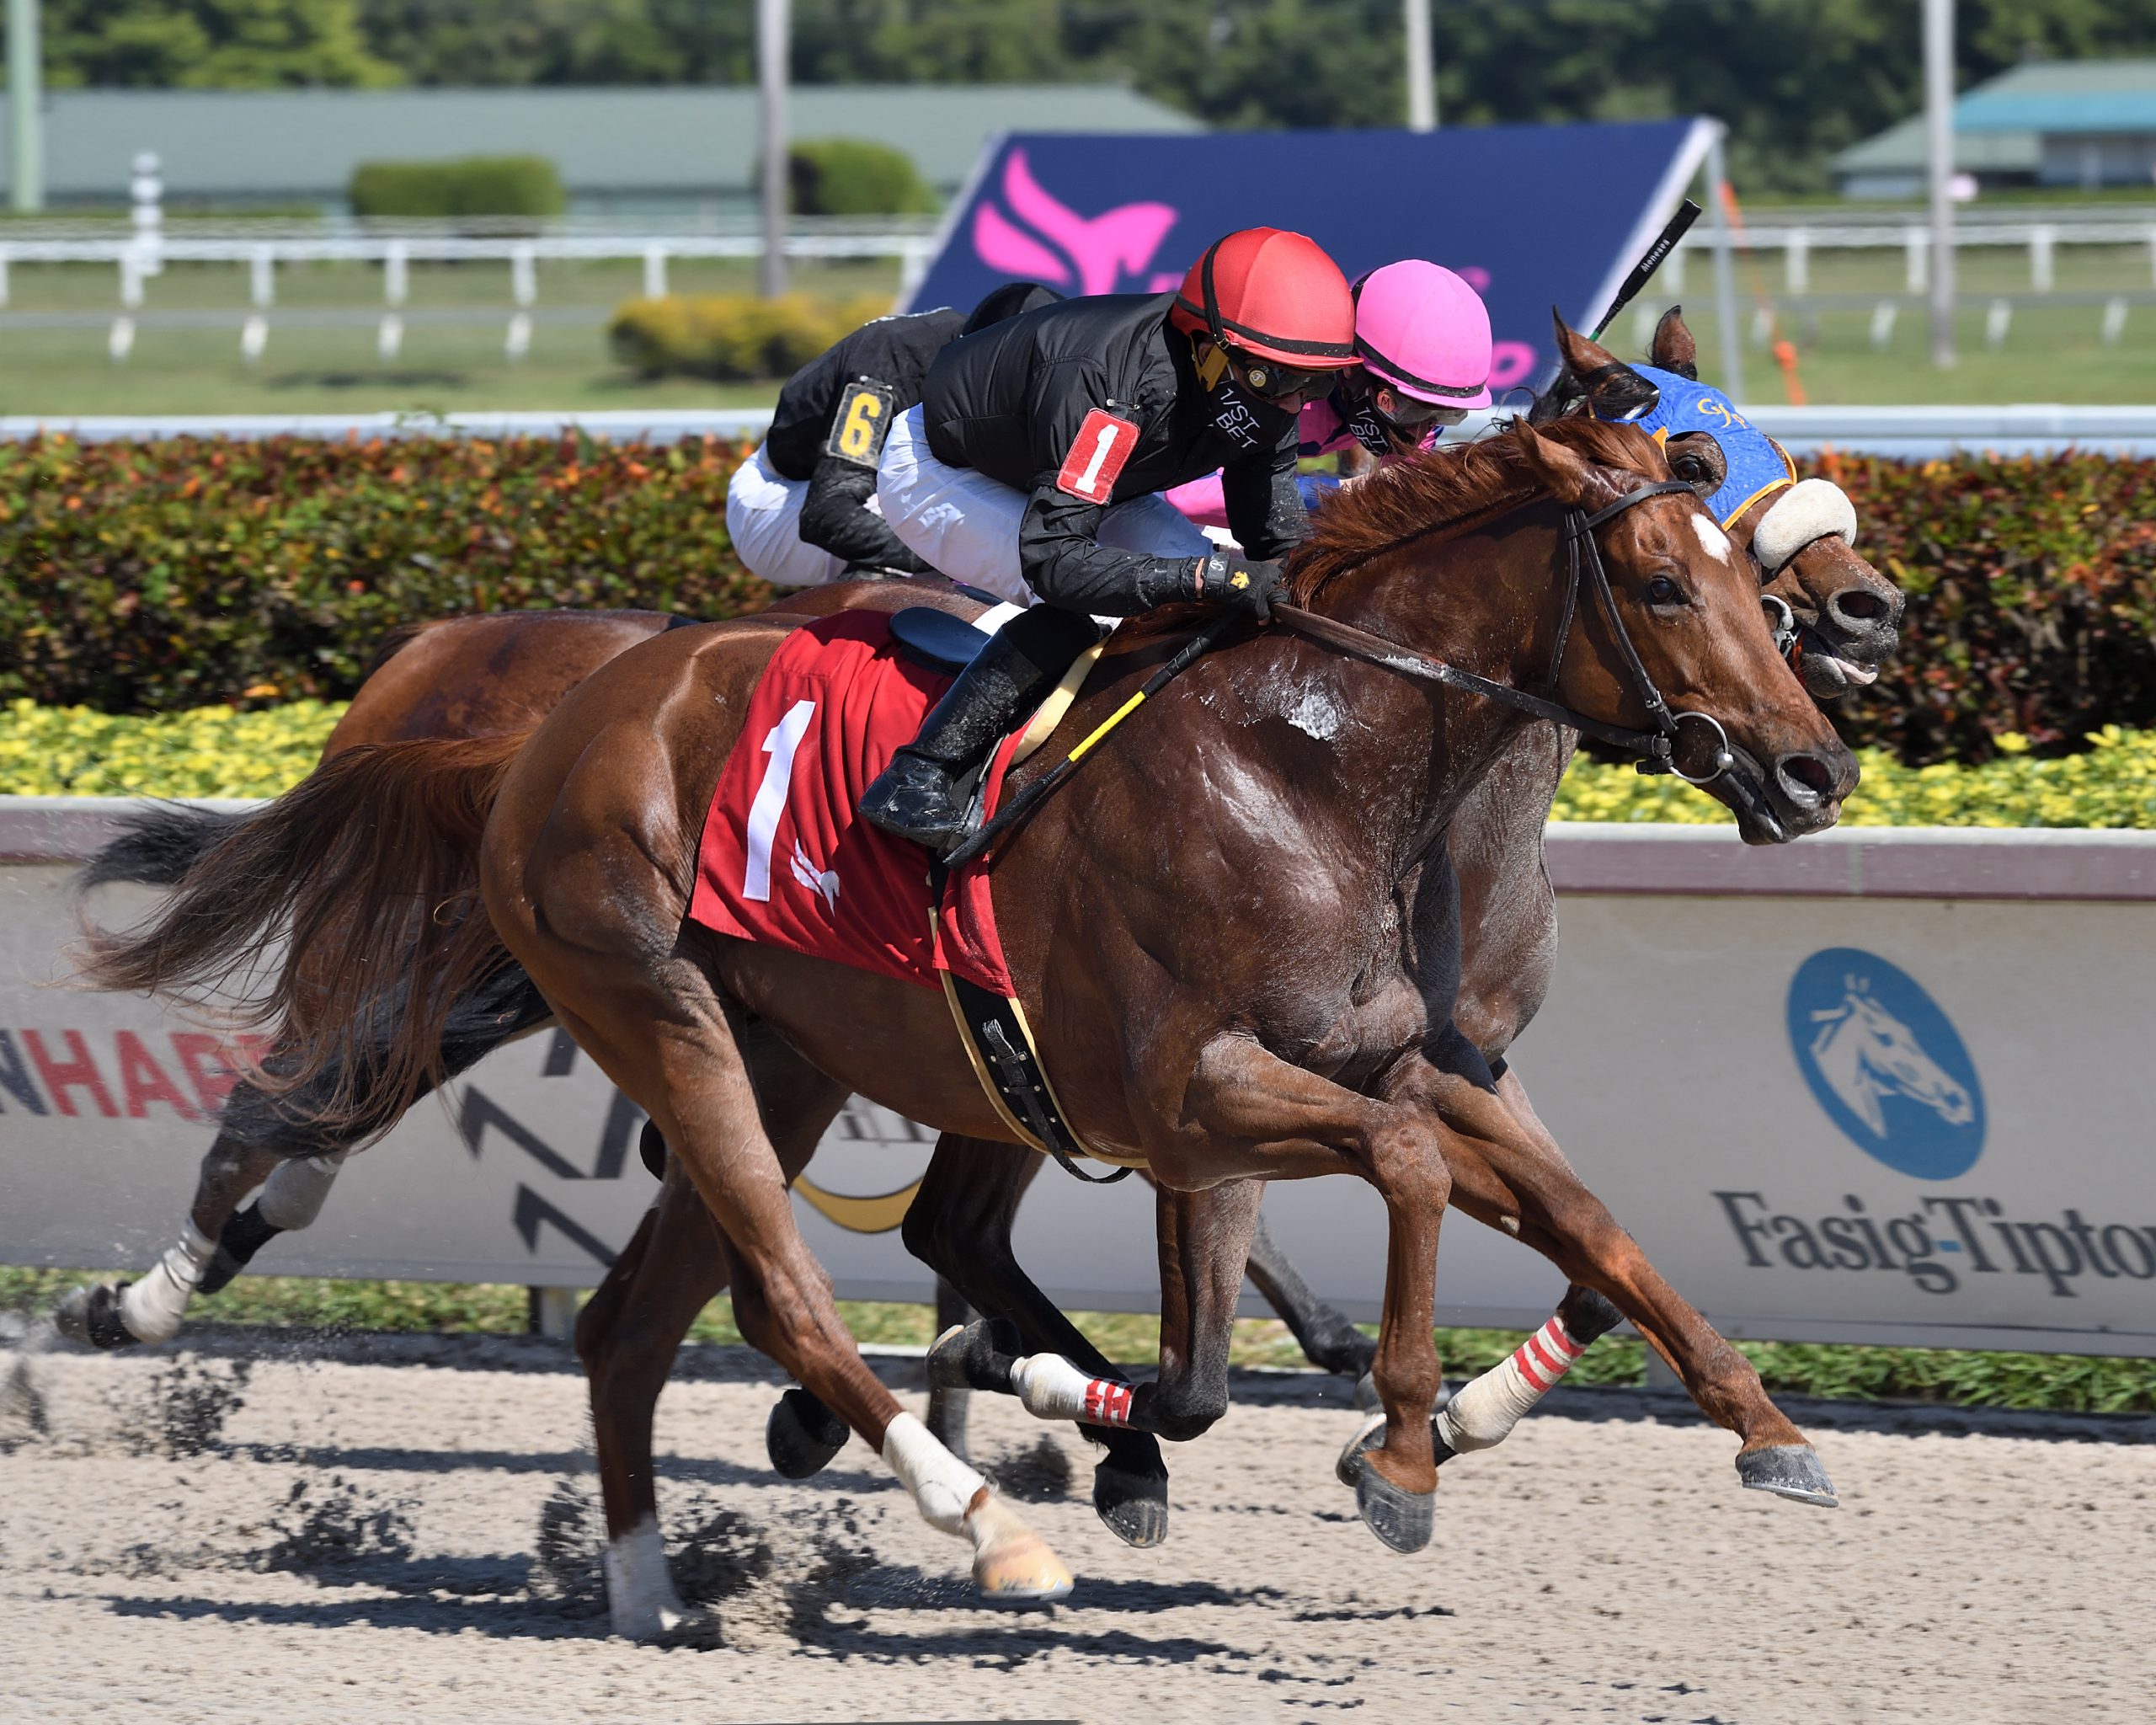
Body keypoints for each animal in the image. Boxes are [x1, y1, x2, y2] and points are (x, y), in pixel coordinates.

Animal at [61, 315, 1904, 1637]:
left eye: (1736, 552)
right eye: (1665, 563)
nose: (1813, 762)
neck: (1313, 764)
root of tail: (549, 713)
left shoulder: (1414, 1059)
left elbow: (1581, 1221)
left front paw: (1758, 1423)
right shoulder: (1192, 1096)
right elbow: (1385, 1191)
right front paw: (1386, 1445)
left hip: (786, 1049)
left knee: (630, 1314)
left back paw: (656, 1588)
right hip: (648, 1006)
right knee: (712, 1264)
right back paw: (981, 1518)